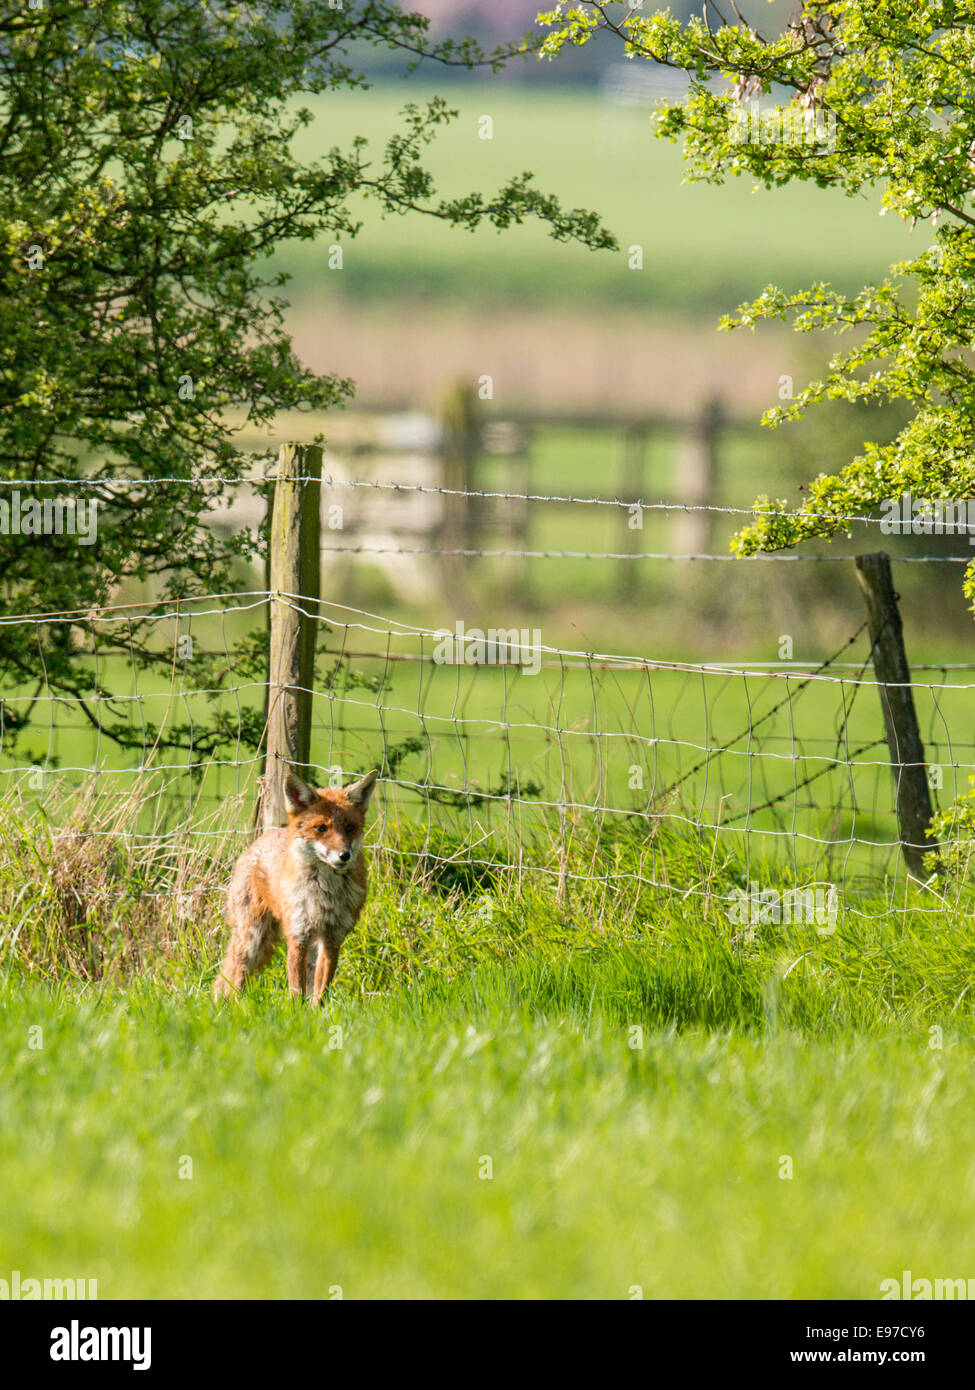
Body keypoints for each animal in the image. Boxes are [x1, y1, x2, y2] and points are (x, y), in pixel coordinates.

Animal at [213, 769, 378, 1005]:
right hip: (252, 938)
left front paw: (316, 1011)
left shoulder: (332, 939)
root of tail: (261, 838)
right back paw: (236, 1006)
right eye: (320, 828)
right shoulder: (298, 935)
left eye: (350, 828)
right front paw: (295, 1012)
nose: (344, 855)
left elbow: (320, 989)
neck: (324, 894)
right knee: (235, 978)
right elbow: (296, 989)